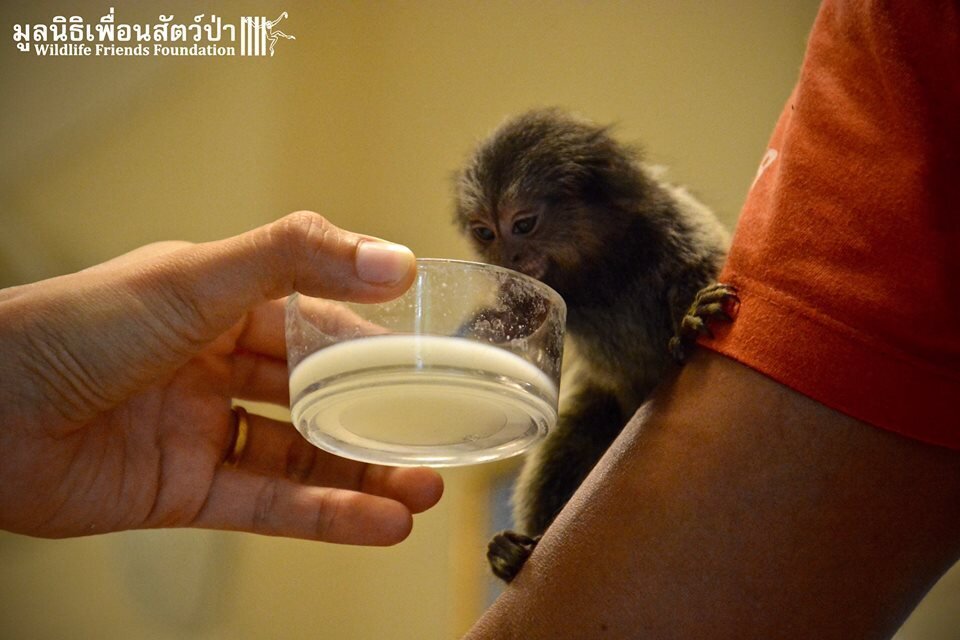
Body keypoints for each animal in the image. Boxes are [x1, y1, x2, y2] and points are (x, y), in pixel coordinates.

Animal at [452, 108, 738, 583]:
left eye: (523, 225)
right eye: (485, 233)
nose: (507, 259)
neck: (598, 266)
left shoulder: (676, 224)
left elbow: (700, 266)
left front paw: (692, 318)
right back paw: (510, 556)